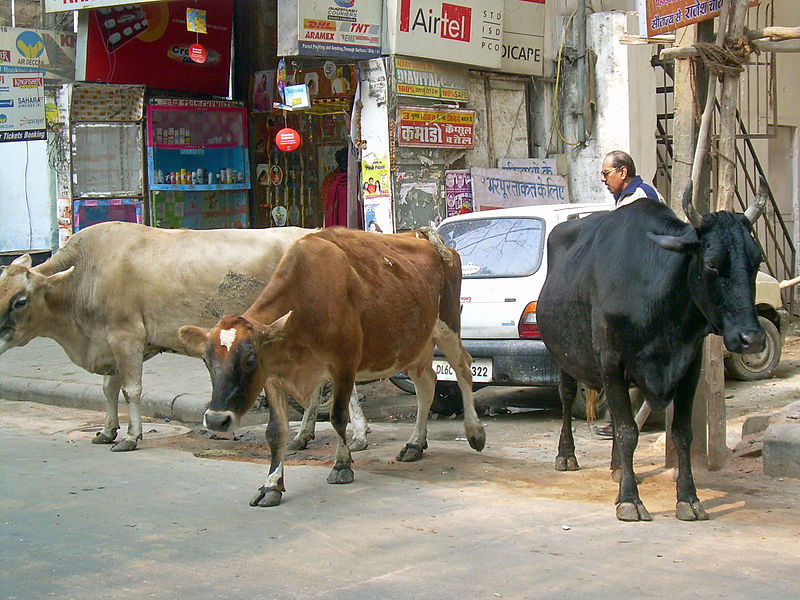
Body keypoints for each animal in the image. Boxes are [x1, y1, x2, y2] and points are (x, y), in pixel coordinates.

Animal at [0, 222, 368, 452]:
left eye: (20, 300)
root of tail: (315, 233)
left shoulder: (125, 336)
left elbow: (131, 390)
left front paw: (131, 436)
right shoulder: (111, 343)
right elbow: (109, 388)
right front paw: (106, 431)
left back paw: (356, 434)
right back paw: (305, 436)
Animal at [178, 227, 486, 507]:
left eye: (250, 360)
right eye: (206, 361)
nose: (216, 420)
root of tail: (423, 235)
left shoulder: (345, 363)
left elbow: (339, 416)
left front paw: (341, 465)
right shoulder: (274, 376)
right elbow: (275, 432)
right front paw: (271, 485)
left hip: (447, 326)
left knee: (463, 368)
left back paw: (474, 432)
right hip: (414, 345)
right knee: (427, 383)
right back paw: (414, 444)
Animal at [537, 179, 767, 522]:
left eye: (757, 261)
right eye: (711, 264)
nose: (752, 339)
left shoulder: (689, 365)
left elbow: (681, 432)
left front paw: (689, 498)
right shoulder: (611, 362)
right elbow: (627, 431)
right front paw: (629, 500)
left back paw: (618, 466)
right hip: (563, 357)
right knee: (566, 397)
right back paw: (566, 455)